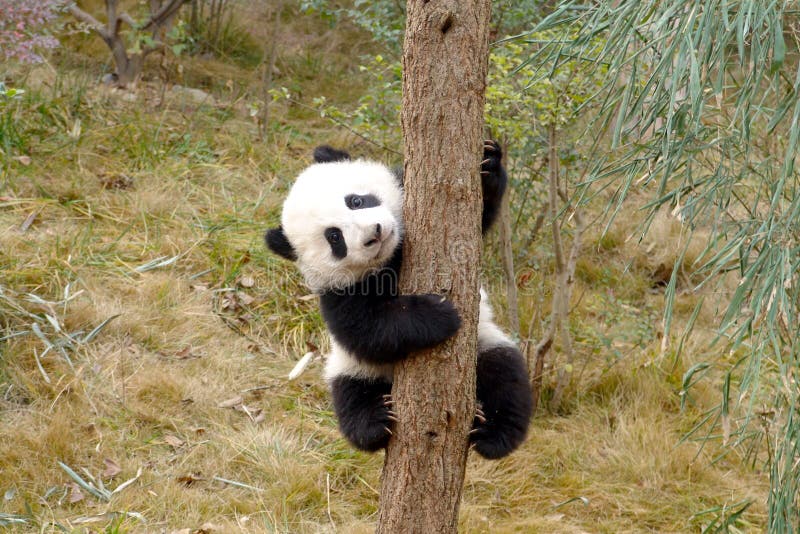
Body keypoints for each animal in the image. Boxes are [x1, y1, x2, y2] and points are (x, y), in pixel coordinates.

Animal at [265, 141, 532, 459]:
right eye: (334, 237)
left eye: (356, 201)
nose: (374, 234)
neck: (393, 255)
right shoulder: (339, 292)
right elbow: (368, 330)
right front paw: (439, 313)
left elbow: (480, 219)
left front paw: (489, 163)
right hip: (352, 369)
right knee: (352, 398)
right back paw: (376, 423)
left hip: (484, 342)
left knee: (504, 378)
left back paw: (491, 435)